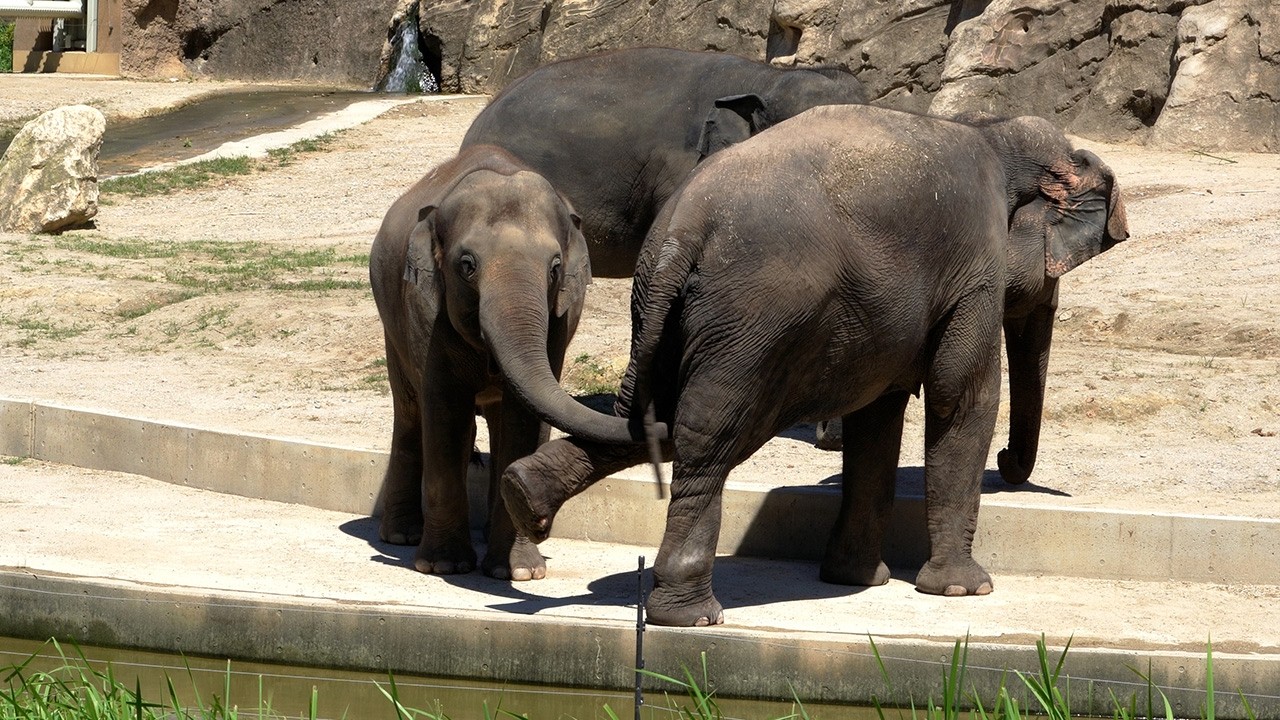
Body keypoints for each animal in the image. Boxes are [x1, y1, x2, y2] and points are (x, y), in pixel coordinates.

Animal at [370, 144, 643, 580]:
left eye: (555, 268)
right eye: (466, 265)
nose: (542, 526)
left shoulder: (559, 320)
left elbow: (523, 419)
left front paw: (518, 572)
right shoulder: (425, 309)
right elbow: (445, 409)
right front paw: (445, 566)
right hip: (391, 321)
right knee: (411, 411)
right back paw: (401, 537)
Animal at [497, 105, 1128, 626]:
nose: (1007, 464)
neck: (992, 131)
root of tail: (680, 235)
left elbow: (879, 416)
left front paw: (857, 581)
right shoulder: (974, 263)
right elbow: (961, 395)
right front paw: (963, 591)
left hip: (674, 313)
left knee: (650, 414)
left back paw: (521, 494)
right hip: (754, 319)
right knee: (709, 430)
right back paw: (691, 615)